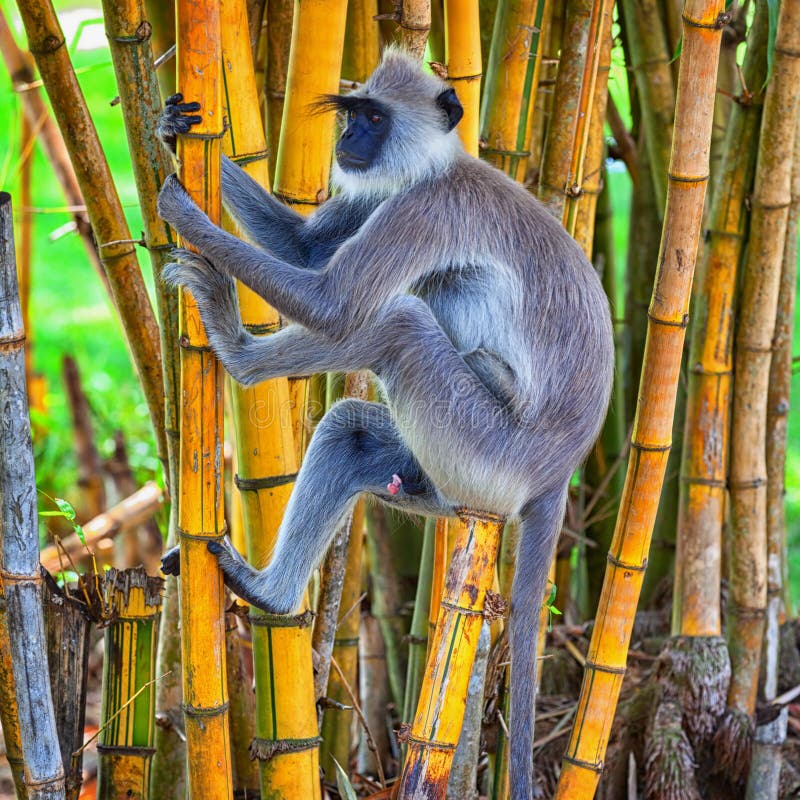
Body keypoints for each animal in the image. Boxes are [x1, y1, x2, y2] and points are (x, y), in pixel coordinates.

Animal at [156, 47, 614, 798]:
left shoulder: (425, 208)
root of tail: (556, 473)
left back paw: (238, 354)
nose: (349, 140)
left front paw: (184, 212)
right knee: (352, 424)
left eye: (374, 118)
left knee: (396, 321)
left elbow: (334, 305)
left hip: (483, 448)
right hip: (446, 467)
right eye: (354, 115)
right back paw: (271, 592)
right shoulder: (390, 194)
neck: (439, 166)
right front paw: (171, 128)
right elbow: (304, 247)